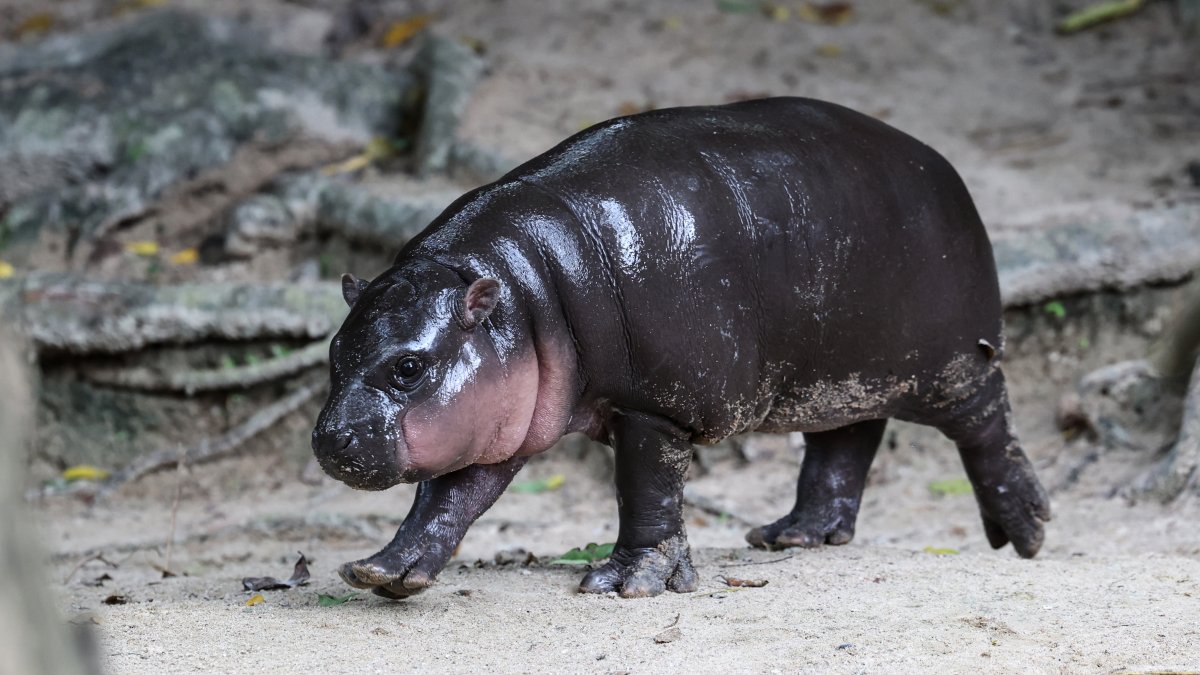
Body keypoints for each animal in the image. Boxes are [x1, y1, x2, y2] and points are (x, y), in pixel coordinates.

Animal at [312, 97, 1051, 599]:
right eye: (334, 352)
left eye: (410, 367)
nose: (328, 439)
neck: (524, 291)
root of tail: (942, 167)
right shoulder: (498, 416)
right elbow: (448, 498)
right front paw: (384, 572)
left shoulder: (657, 404)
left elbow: (647, 493)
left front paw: (627, 583)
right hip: (839, 369)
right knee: (845, 438)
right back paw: (790, 536)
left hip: (951, 363)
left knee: (987, 423)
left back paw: (1026, 532)